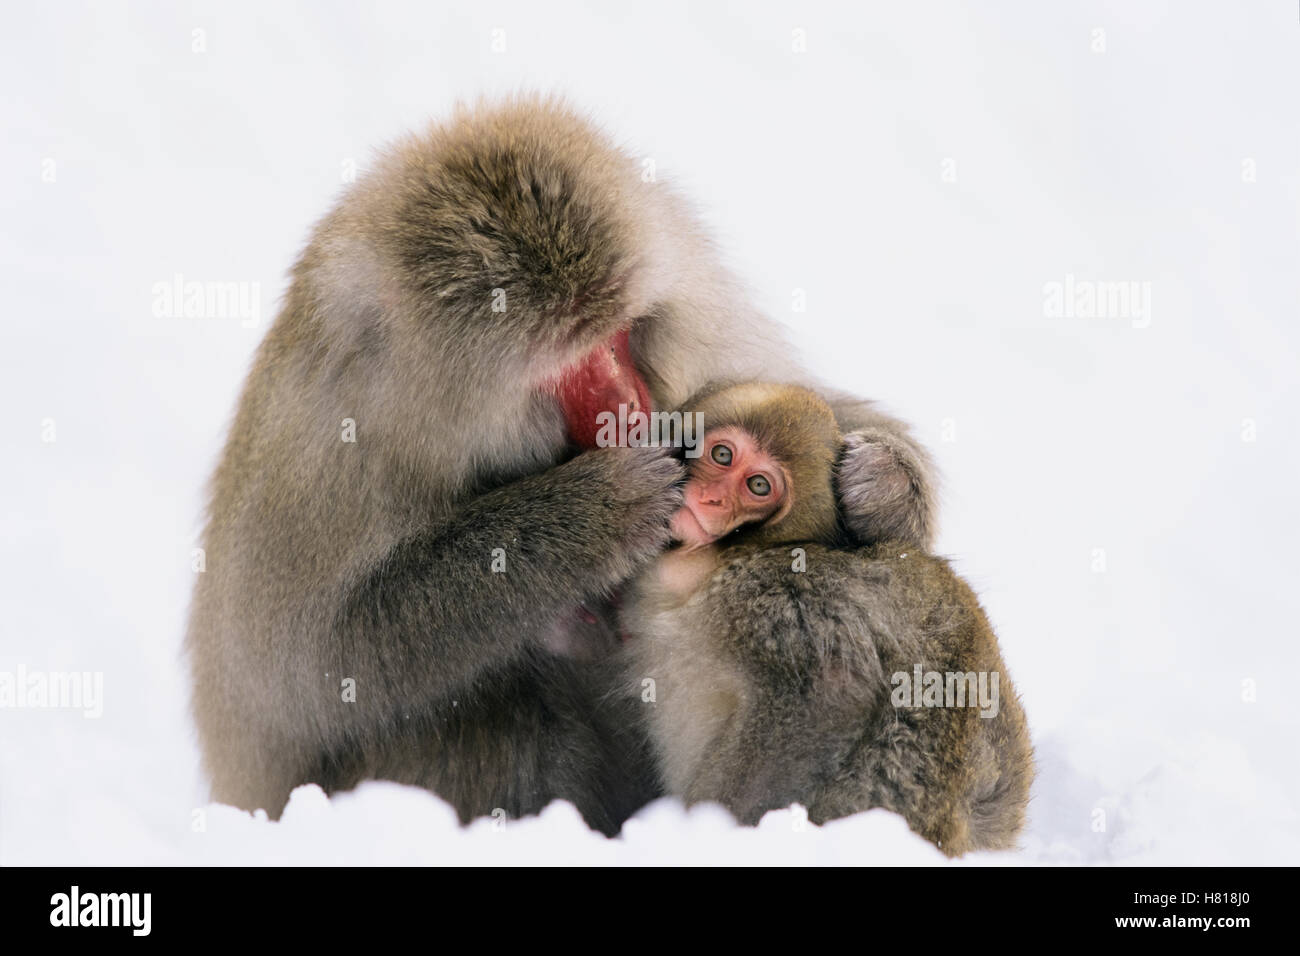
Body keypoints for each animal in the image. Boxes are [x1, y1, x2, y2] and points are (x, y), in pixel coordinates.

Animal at [186, 95, 940, 836]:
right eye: (565, 367)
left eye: (621, 331)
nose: (632, 407)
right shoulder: (328, 447)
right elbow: (309, 672)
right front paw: (596, 513)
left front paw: (882, 486)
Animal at [620, 382, 1033, 855]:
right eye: (722, 455)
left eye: (758, 485)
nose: (712, 499)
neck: (726, 559)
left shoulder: (776, 597)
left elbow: (829, 692)